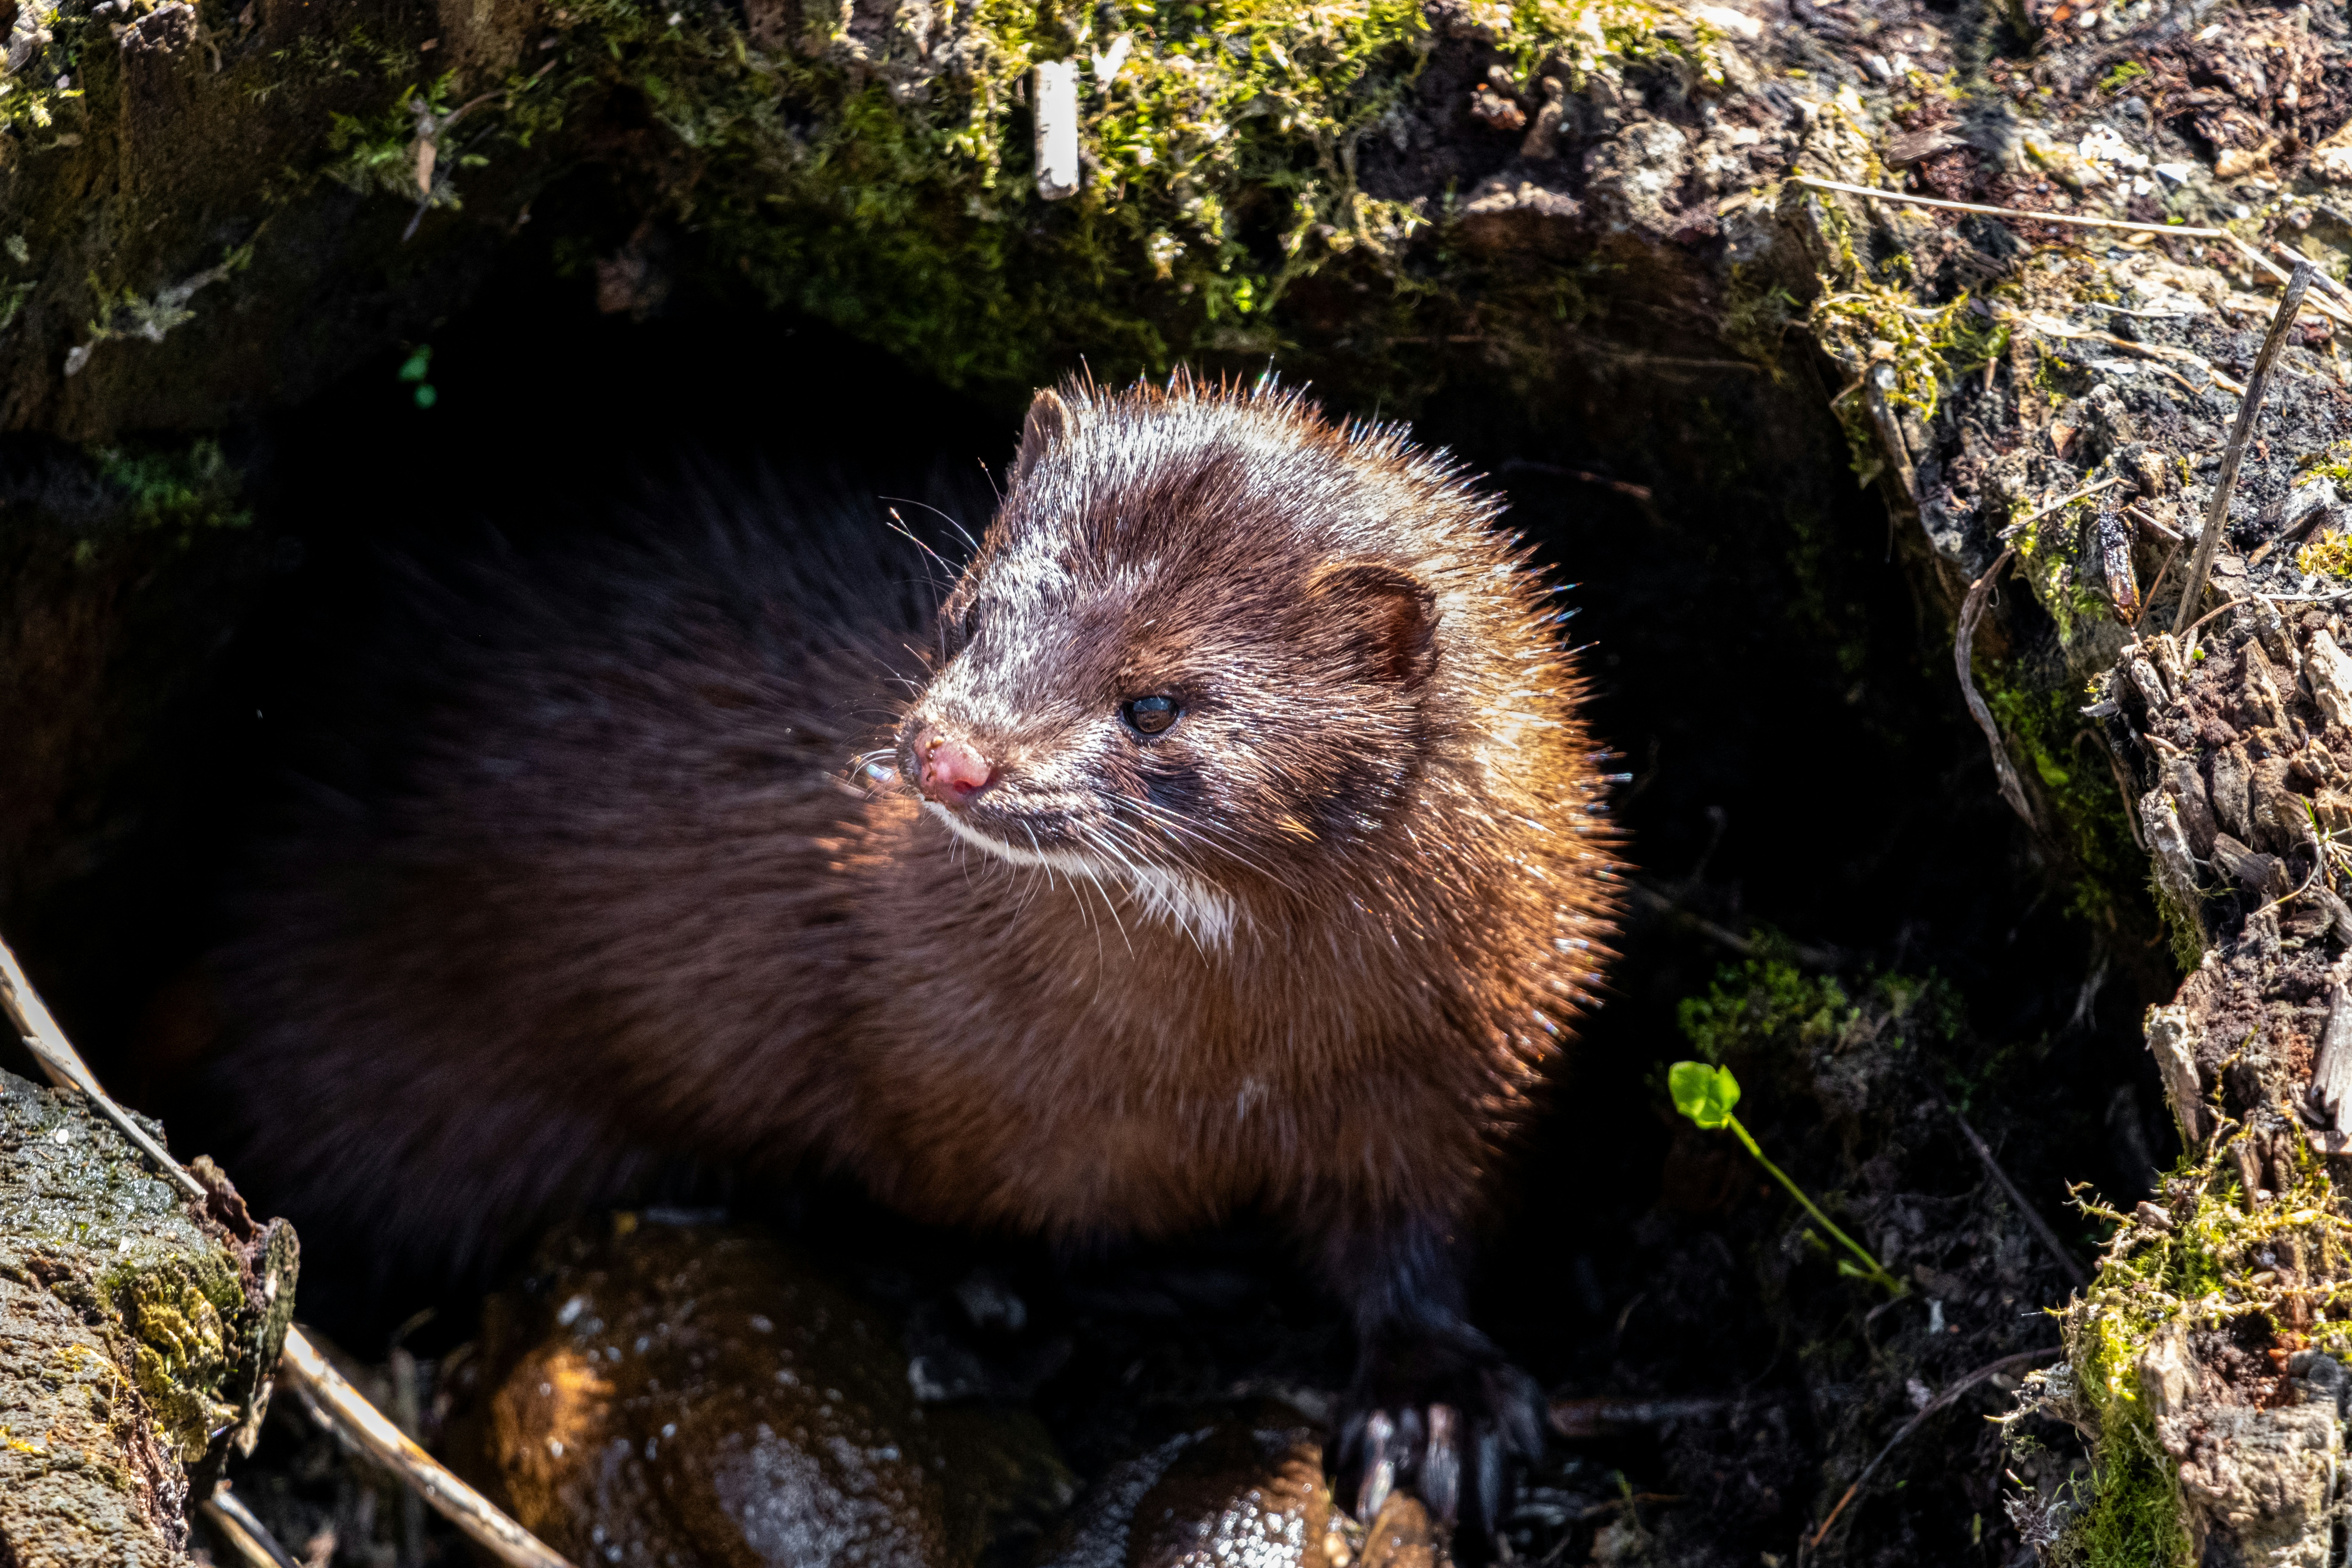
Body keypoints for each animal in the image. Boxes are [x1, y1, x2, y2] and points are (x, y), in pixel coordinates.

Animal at [201, 376, 1619, 1550]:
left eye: (1160, 701)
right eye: (968, 613)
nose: (951, 752)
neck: (1214, 1073)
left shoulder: (1477, 1041)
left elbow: (1425, 1227)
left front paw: (1436, 1408)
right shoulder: (894, 1062)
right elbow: (937, 1202)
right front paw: (1042, 1293)